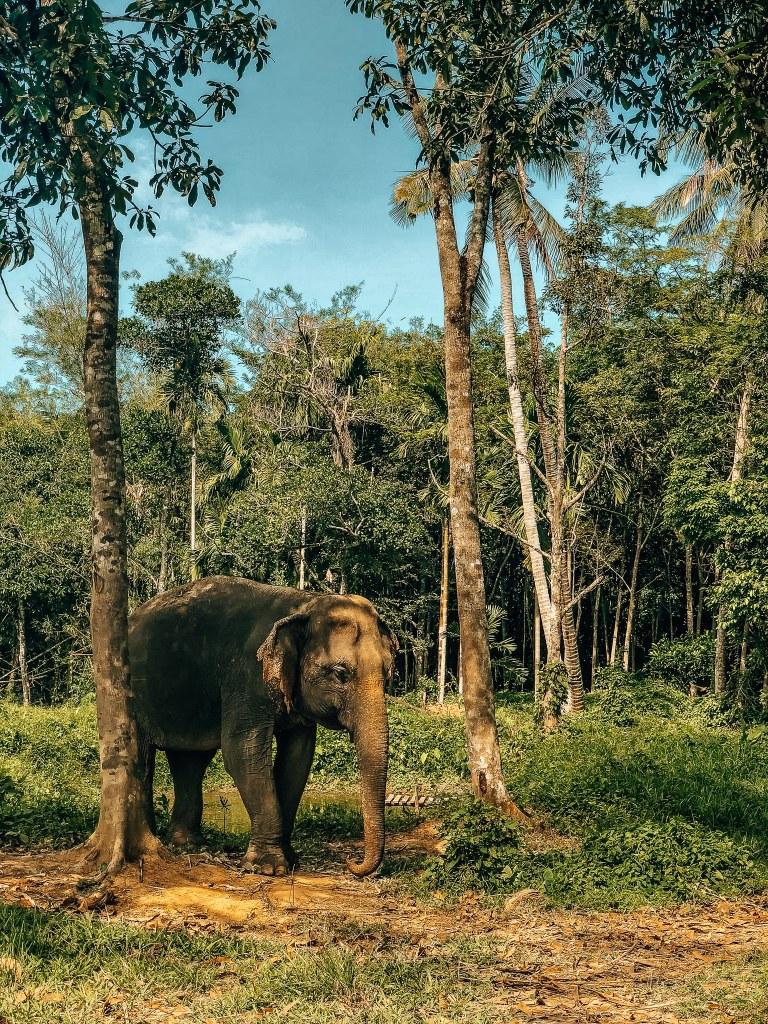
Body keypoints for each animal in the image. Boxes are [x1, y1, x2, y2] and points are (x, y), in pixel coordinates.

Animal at [128, 575, 396, 877]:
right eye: (341, 673)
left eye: (388, 672)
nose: (352, 862)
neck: (303, 603)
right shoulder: (247, 676)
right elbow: (243, 751)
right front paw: (268, 868)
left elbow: (297, 758)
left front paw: (291, 859)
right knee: (144, 758)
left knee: (190, 762)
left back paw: (186, 843)